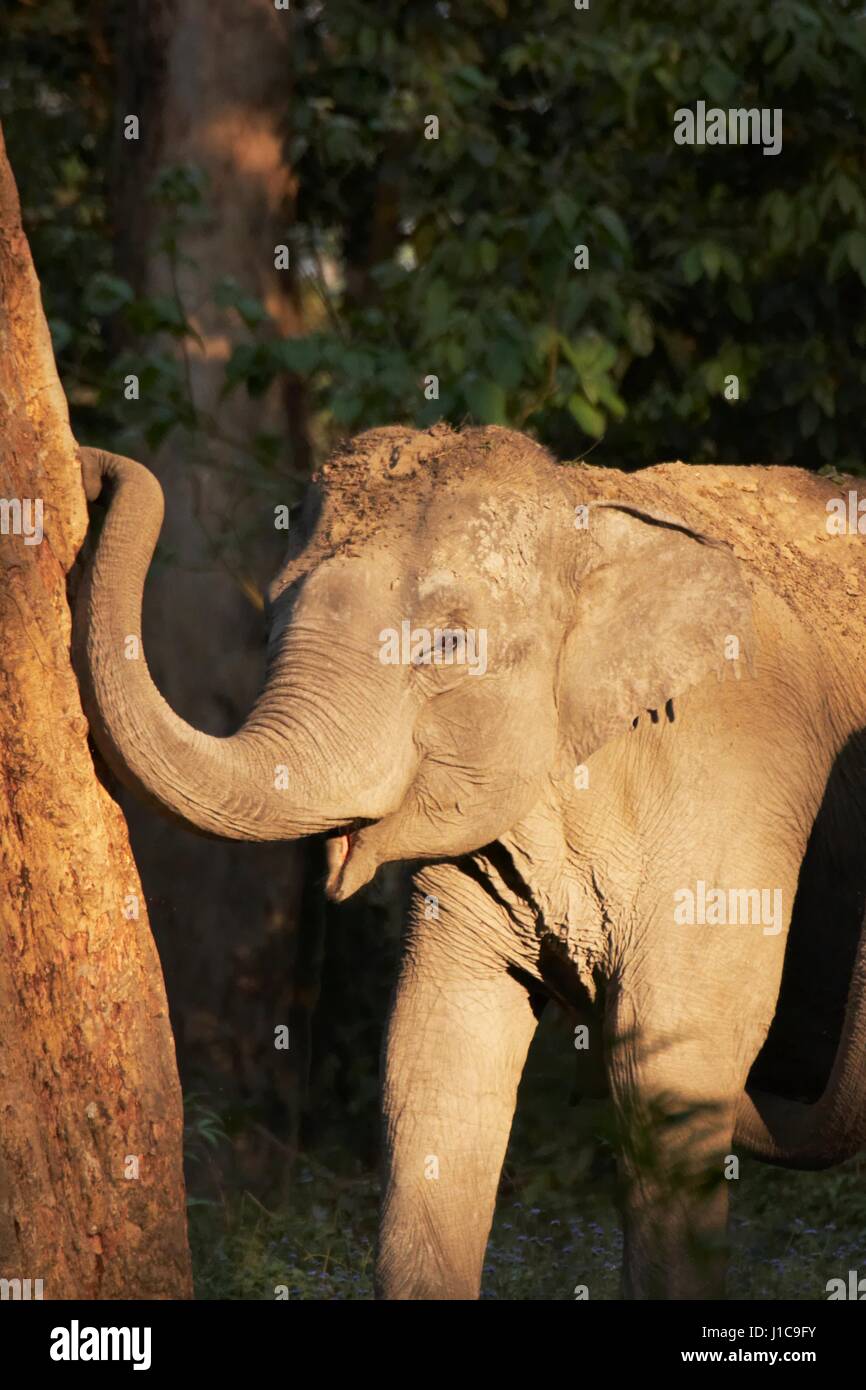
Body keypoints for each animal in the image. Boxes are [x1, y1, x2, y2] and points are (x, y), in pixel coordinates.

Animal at [74, 423, 866, 1300]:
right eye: (271, 617)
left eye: (448, 642)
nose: (89, 466)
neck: (585, 505)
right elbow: (434, 1050)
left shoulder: (736, 781)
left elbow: (669, 1063)